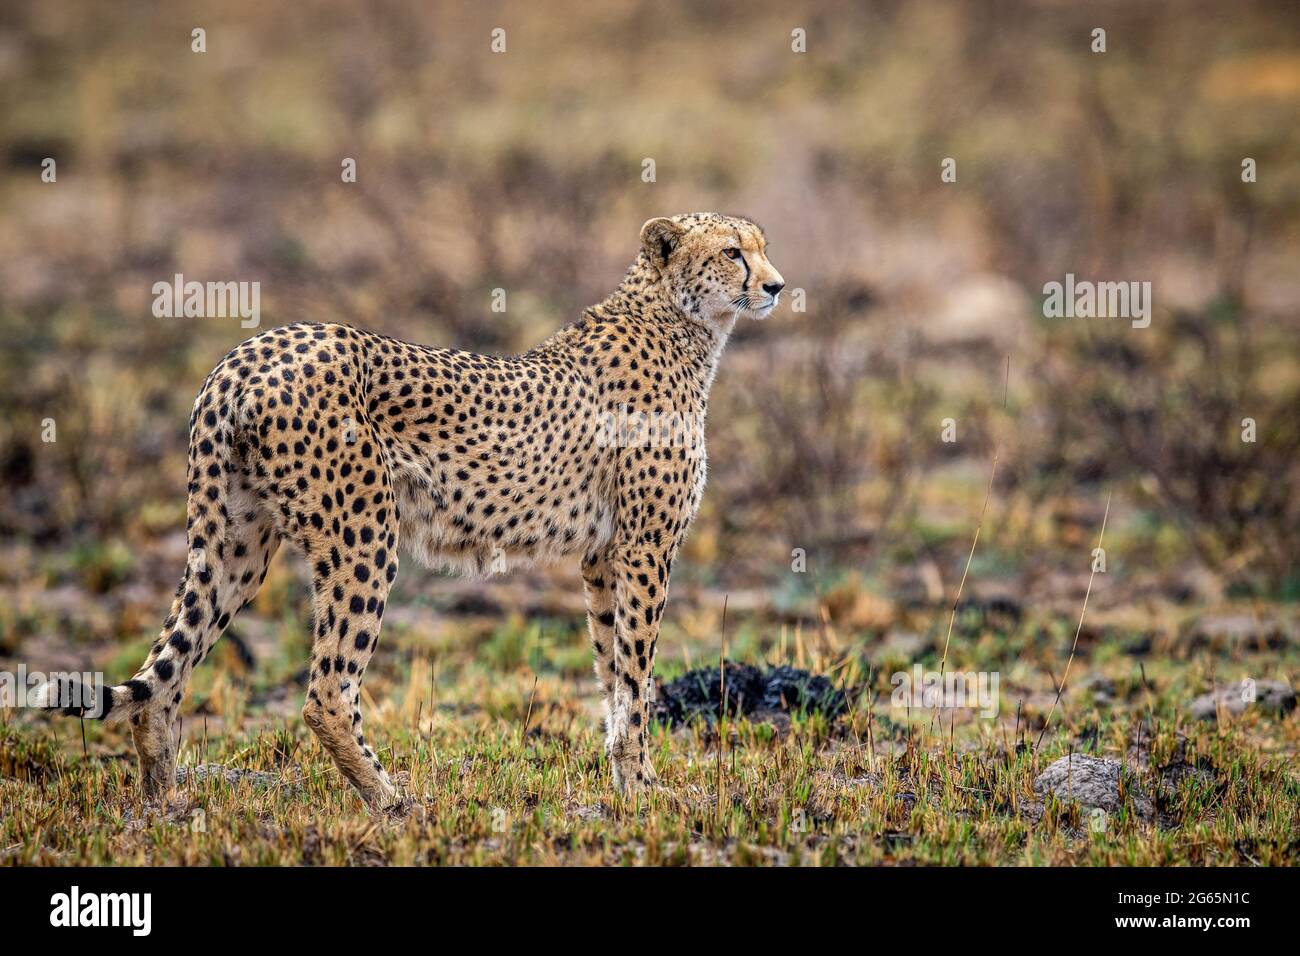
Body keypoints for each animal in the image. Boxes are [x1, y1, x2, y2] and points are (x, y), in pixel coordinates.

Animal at [35, 212, 785, 810]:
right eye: (732, 252)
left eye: (762, 246)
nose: (777, 286)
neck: (679, 323)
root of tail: (247, 354)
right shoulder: (644, 549)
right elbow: (636, 678)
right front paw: (647, 792)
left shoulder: (602, 557)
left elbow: (611, 671)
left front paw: (629, 785)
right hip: (364, 535)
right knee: (326, 691)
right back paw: (393, 801)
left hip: (234, 542)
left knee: (165, 673)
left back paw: (165, 803)